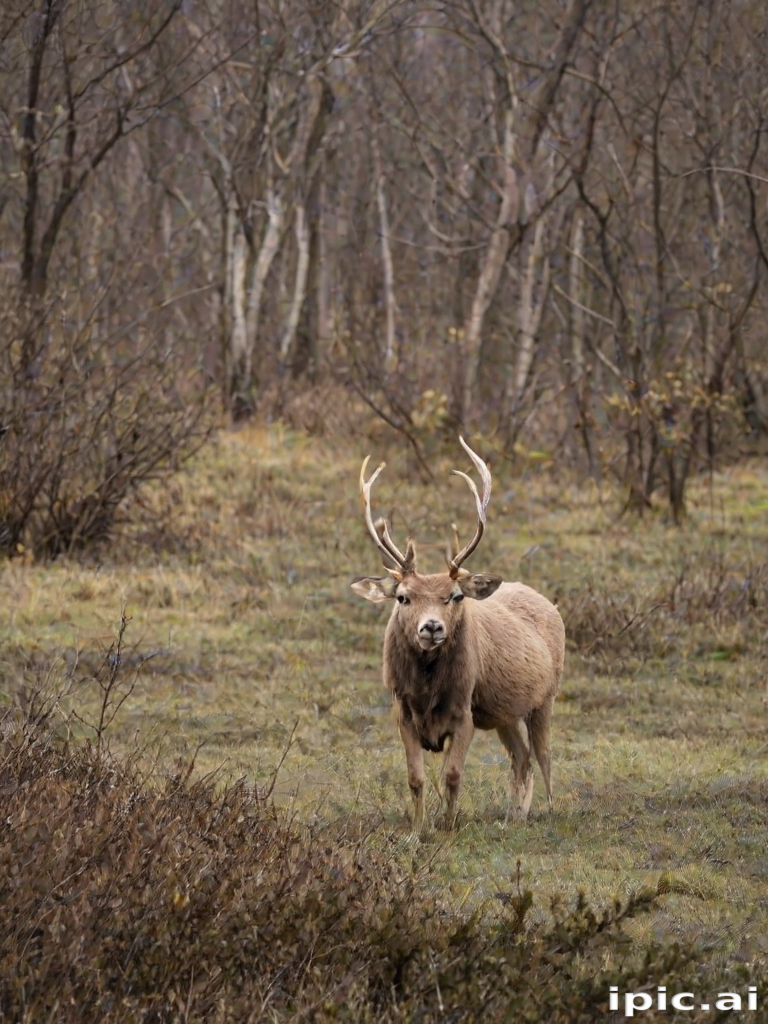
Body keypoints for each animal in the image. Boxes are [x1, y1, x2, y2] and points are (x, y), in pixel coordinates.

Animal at [351, 437, 565, 832]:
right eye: (403, 597)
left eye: (455, 596)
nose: (432, 627)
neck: (427, 694)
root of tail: (547, 601)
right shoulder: (401, 711)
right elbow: (415, 777)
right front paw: (417, 829)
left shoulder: (465, 711)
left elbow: (452, 775)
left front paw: (448, 825)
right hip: (503, 713)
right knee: (522, 755)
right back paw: (514, 814)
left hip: (546, 696)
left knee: (544, 754)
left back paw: (547, 809)